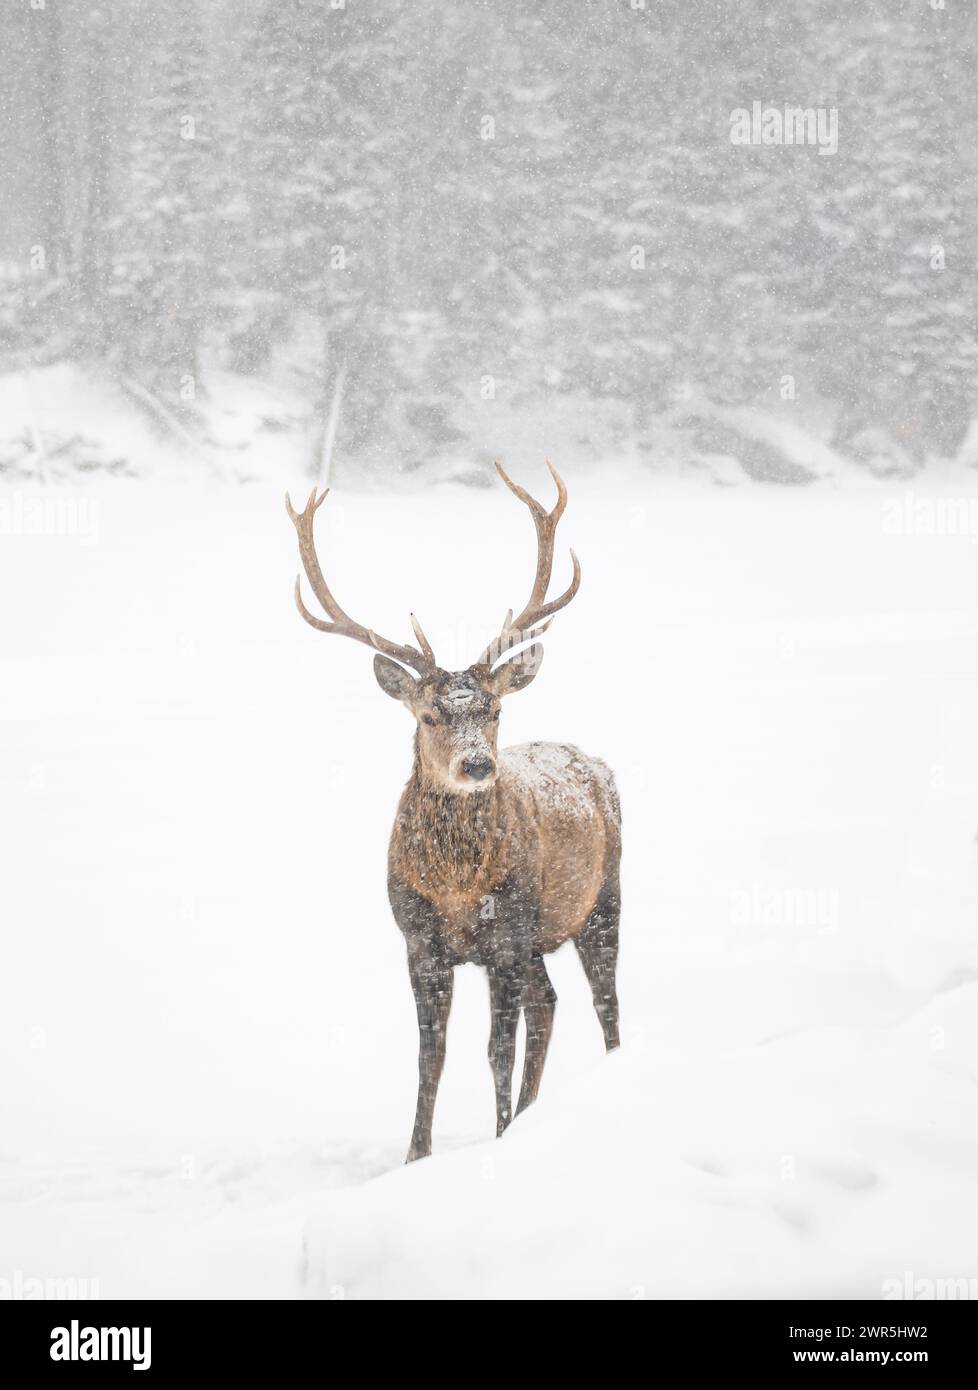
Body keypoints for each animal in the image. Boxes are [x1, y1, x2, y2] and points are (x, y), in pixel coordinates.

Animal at [286, 462, 622, 1162]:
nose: (476, 765)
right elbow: (430, 1056)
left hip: (602, 899)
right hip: (541, 937)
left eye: (493, 709)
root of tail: (597, 764)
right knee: (550, 1002)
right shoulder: (419, 941)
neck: (458, 891)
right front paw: (417, 1153)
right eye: (429, 715)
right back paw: (532, 1113)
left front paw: (496, 1137)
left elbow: (494, 1049)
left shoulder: (507, 934)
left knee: (604, 1004)